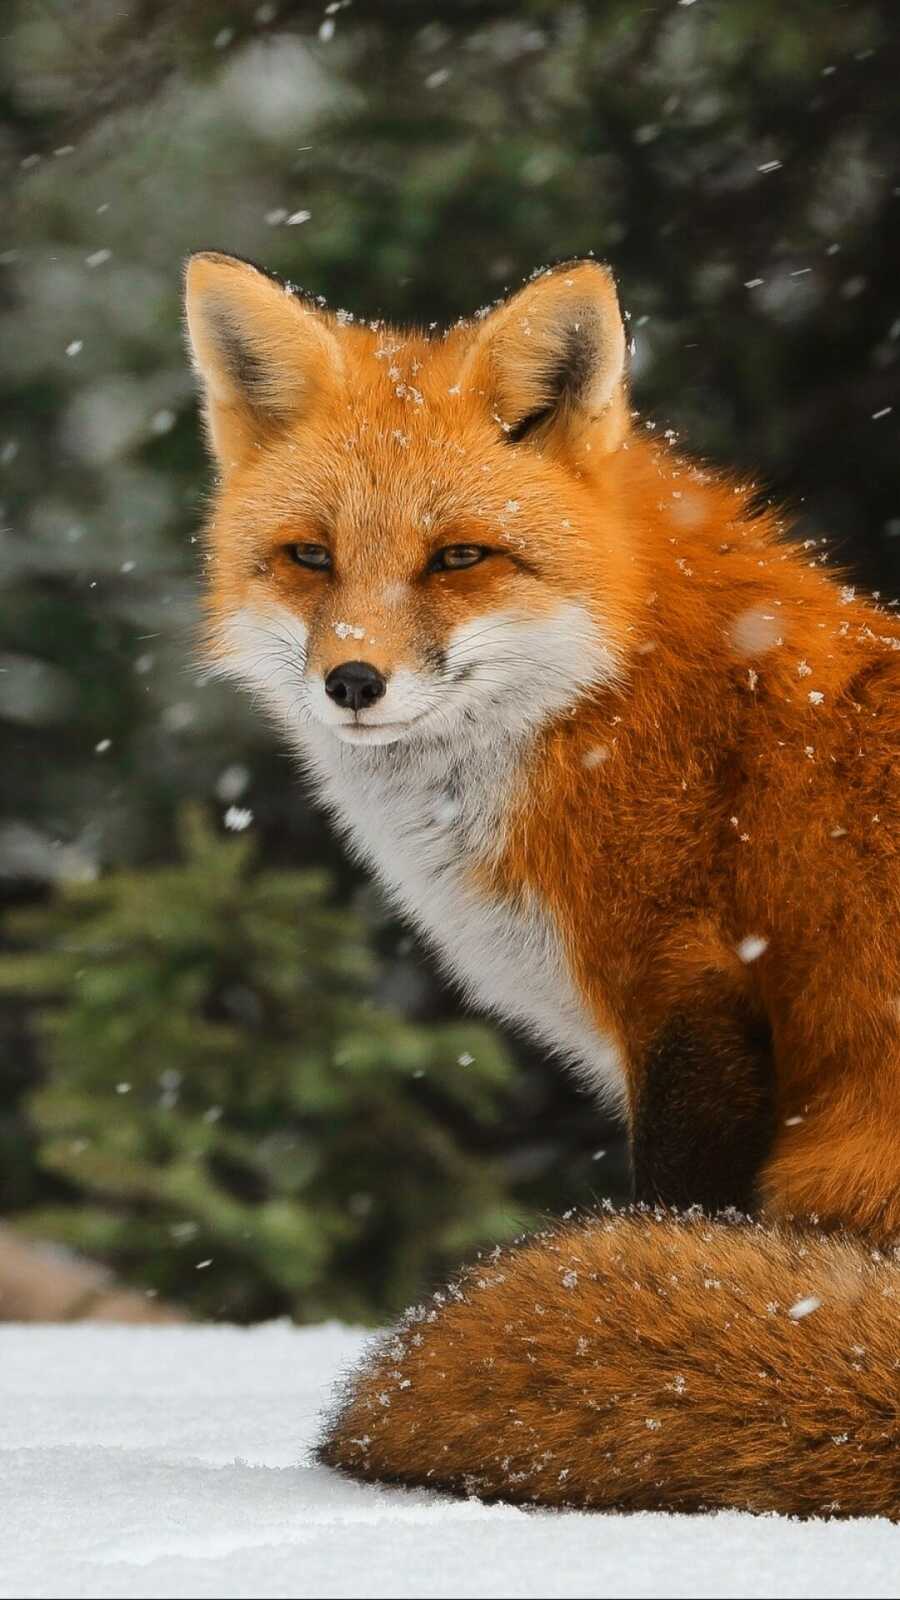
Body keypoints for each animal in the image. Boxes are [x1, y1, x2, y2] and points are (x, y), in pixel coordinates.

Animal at [185, 251, 900, 1519]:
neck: (609, 693)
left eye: (459, 556)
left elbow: (675, 1221)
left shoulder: (691, 998)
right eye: (311, 555)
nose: (352, 681)